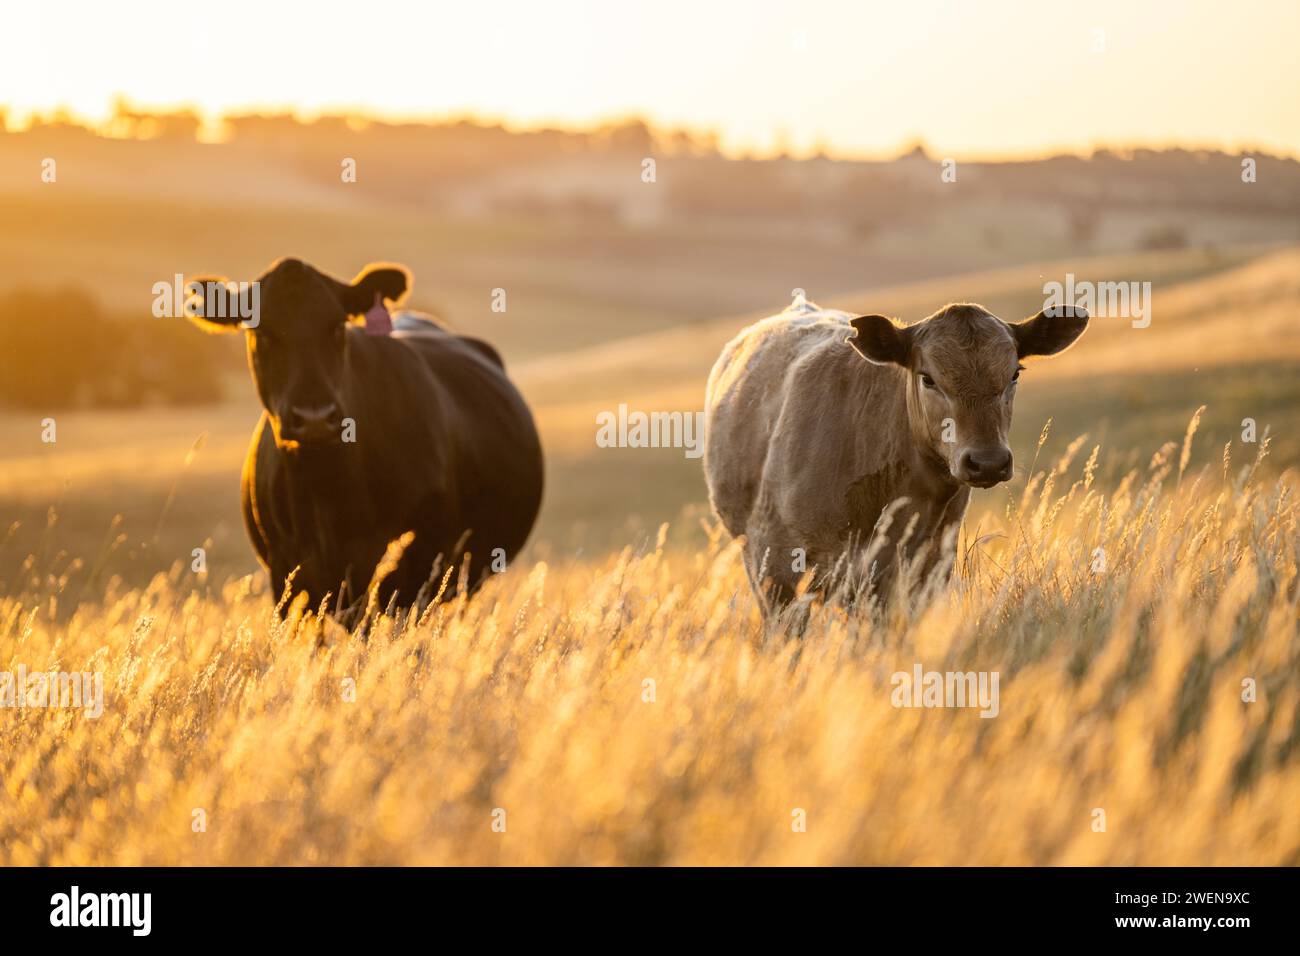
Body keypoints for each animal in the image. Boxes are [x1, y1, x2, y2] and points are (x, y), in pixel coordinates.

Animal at [186, 257, 543, 616]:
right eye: (262, 331)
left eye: (337, 327)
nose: (314, 418)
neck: (325, 490)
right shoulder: (287, 577)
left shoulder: (413, 571)